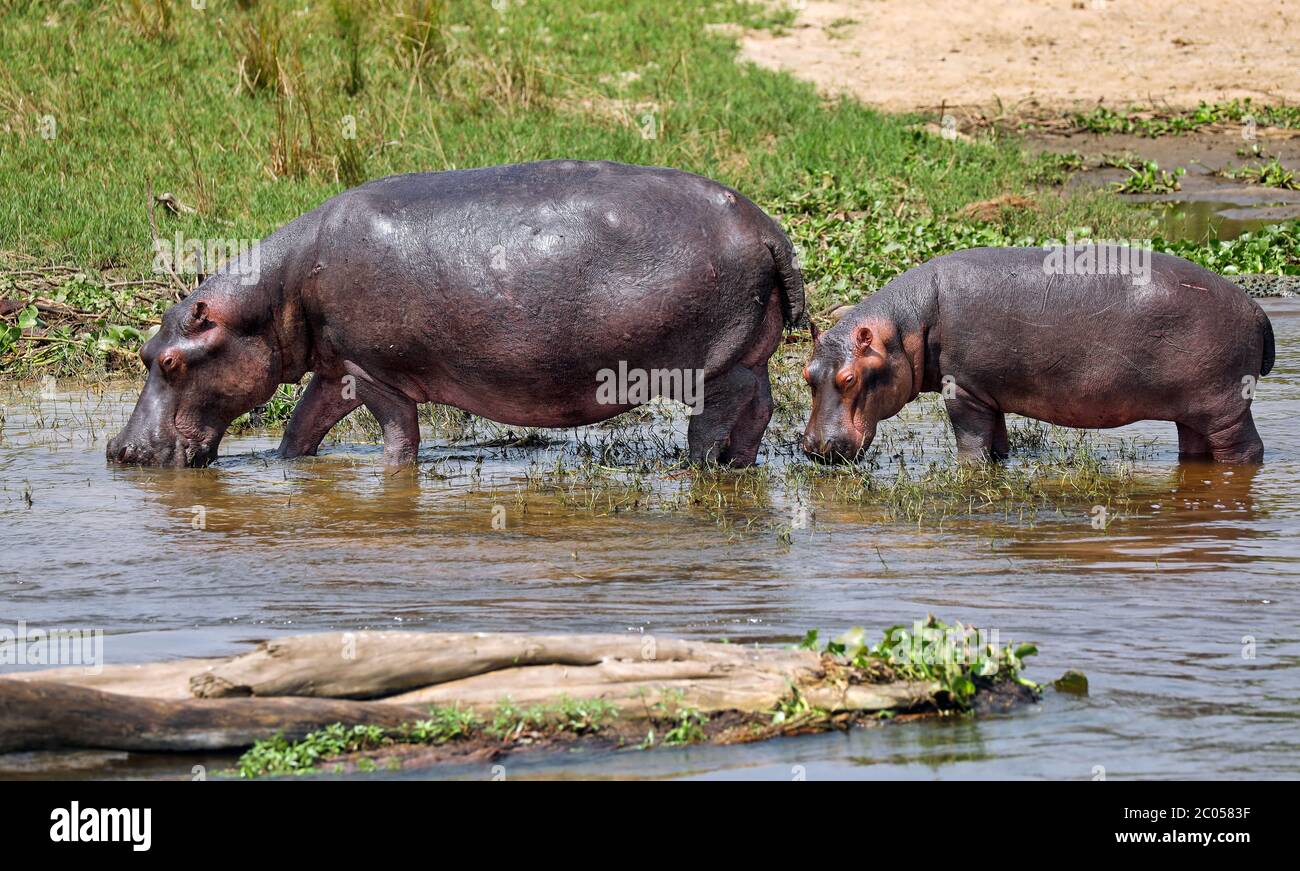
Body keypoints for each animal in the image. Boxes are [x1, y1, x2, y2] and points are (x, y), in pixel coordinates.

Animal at [107, 160, 805, 468]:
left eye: (171, 363)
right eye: (144, 354)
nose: (120, 449)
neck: (273, 296)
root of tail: (769, 228)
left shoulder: (375, 372)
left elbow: (398, 438)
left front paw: (392, 476)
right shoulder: (337, 367)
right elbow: (301, 429)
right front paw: (290, 468)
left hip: (710, 363)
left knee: (717, 414)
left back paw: (699, 465)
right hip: (752, 350)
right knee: (761, 405)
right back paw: (738, 465)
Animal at [802, 246, 1275, 464]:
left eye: (848, 379)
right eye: (808, 374)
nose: (811, 447)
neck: (907, 328)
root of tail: (1257, 310)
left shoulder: (963, 391)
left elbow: (971, 444)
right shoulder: (985, 393)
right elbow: (996, 441)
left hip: (1223, 407)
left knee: (1245, 450)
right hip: (1192, 410)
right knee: (1194, 446)